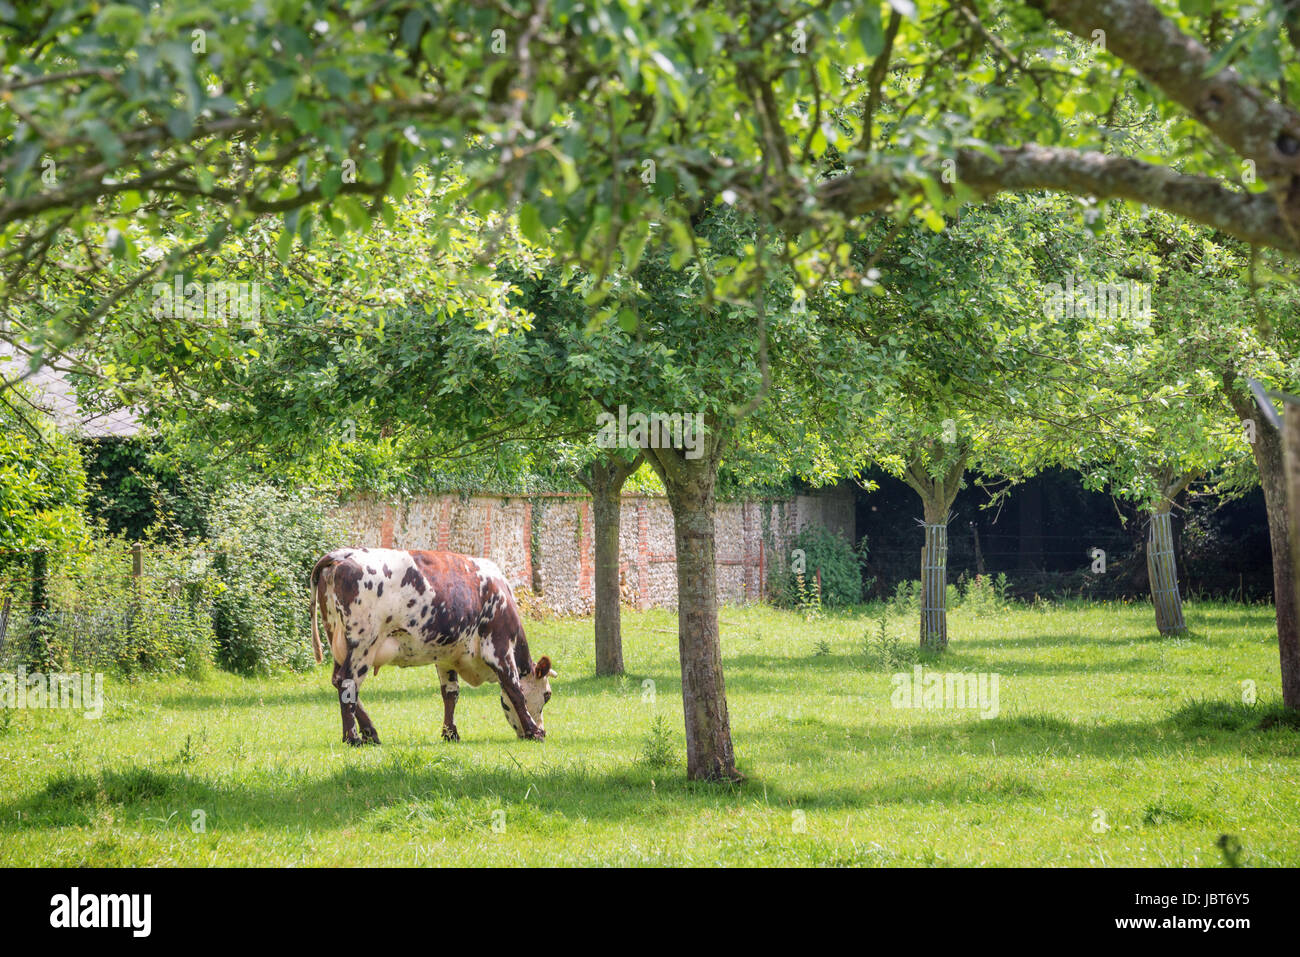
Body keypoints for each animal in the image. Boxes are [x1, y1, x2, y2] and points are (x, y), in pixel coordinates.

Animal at [309, 547, 556, 746]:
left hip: (340, 643)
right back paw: (353, 738)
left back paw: (370, 733)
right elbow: (515, 691)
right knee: (347, 681)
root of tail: (342, 555)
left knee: (338, 681)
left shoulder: (447, 656)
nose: (544, 729)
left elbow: (450, 694)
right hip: (364, 643)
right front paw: (534, 731)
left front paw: (450, 733)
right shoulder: (499, 646)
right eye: (547, 695)